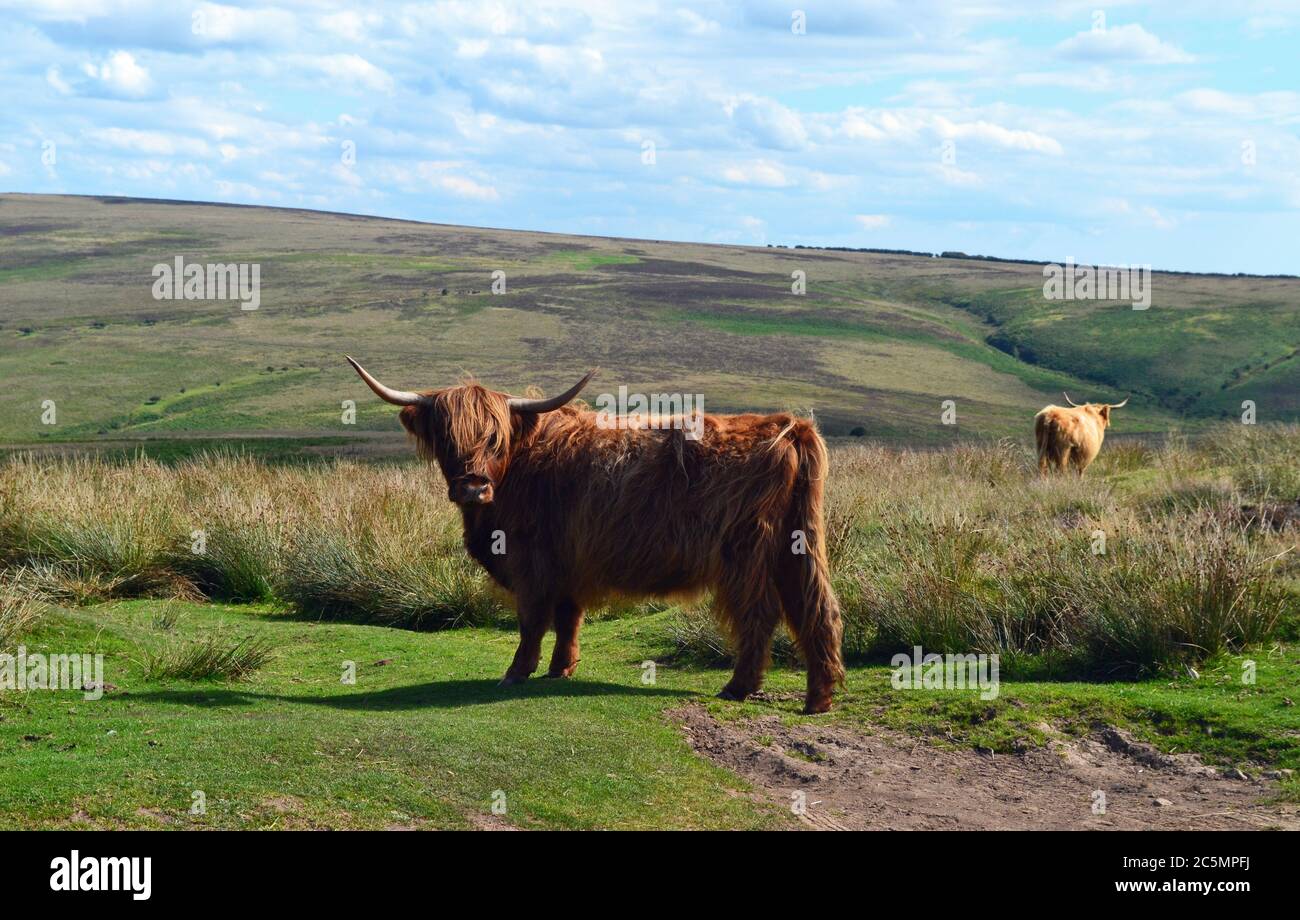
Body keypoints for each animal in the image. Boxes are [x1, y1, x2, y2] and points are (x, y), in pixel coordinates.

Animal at [346, 357, 845, 713]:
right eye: (447, 439)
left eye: (494, 439)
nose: (472, 487)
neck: (519, 468)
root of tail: (787, 426)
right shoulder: (568, 564)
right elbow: (568, 618)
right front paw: (560, 669)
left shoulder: (532, 563)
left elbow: (533, 620)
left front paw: (516, 672)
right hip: (798, 543)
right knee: (815, 607)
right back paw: (818, 699)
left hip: (744, 552)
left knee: (760, 613)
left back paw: (738, 687)